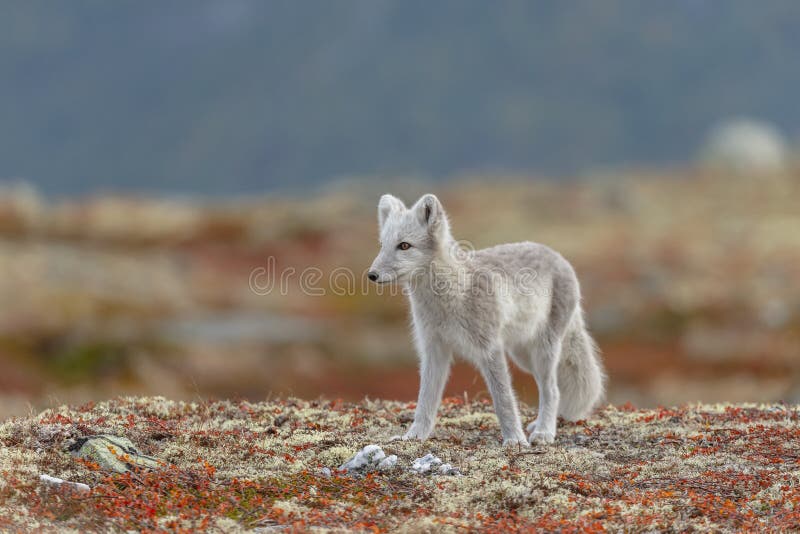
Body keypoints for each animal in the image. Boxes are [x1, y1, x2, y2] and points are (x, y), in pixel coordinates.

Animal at [368, 193, 605, 446]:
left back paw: (543, 432)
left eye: (404, 245)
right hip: (523, 356)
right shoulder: (433, 349)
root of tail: (558, 256)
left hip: (544, 350)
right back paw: (540, 425)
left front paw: (514, 440)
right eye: (382, 245)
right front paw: (414, 436)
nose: (371, 275)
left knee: (552, 389)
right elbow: (425, 401)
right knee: (550, 387)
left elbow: (503, 400)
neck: (450, 298)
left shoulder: (489, 348)